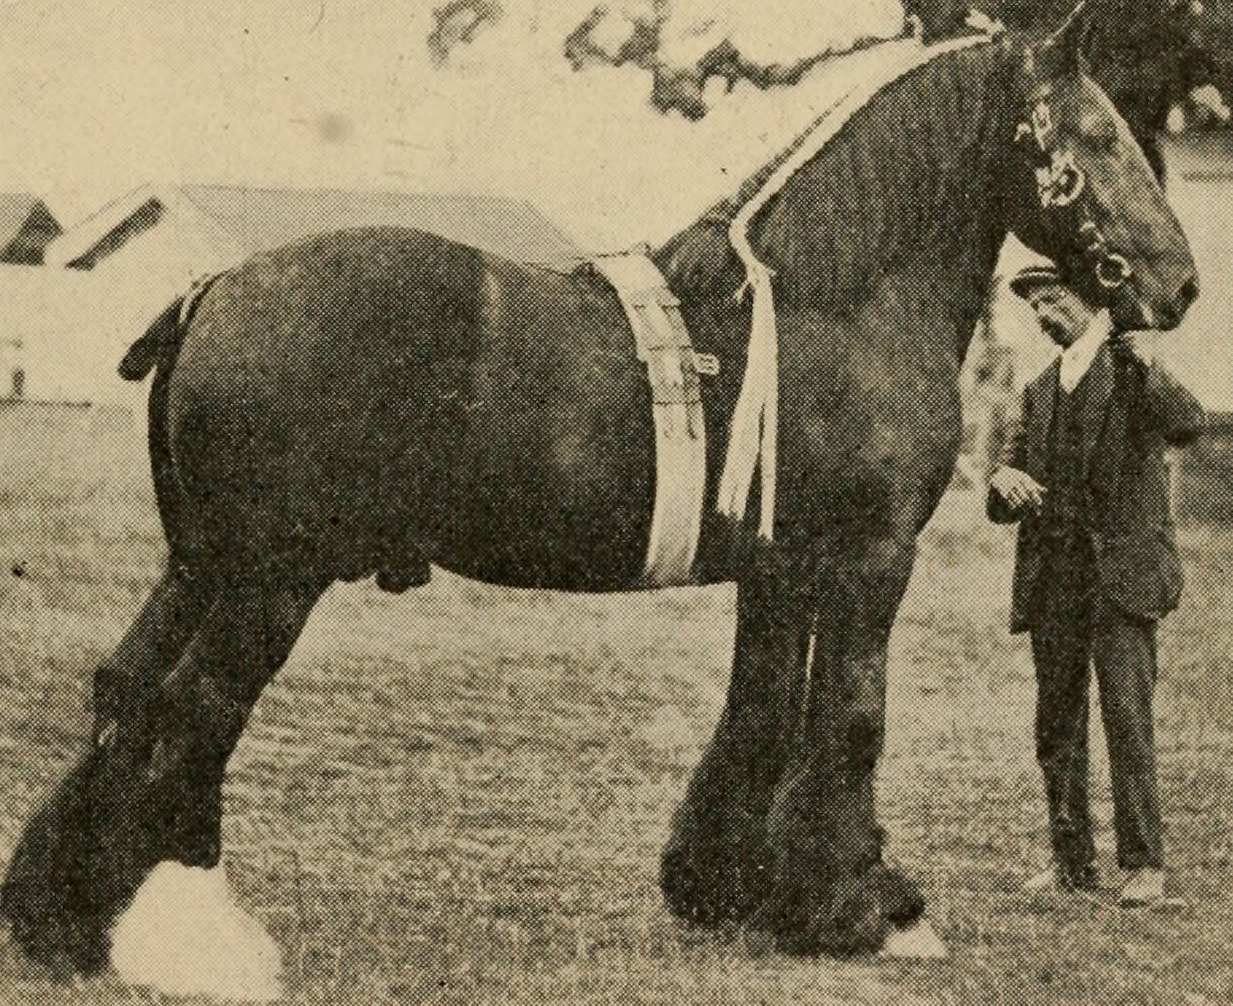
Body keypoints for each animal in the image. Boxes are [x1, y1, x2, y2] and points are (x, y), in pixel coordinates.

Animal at [1, 5, 1198, 992]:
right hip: (270, 582)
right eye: (1096, 137)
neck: (836, 300)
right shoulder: (870, 559)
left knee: (125, 693)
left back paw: (57, 918)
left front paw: (726, 888)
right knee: (189, 715)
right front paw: (869, 909)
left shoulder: (780, 570)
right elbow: (850, 716)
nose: (1179, 284)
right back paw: (193, 943)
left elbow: (762, 712)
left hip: (201, 566)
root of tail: (212, 288)